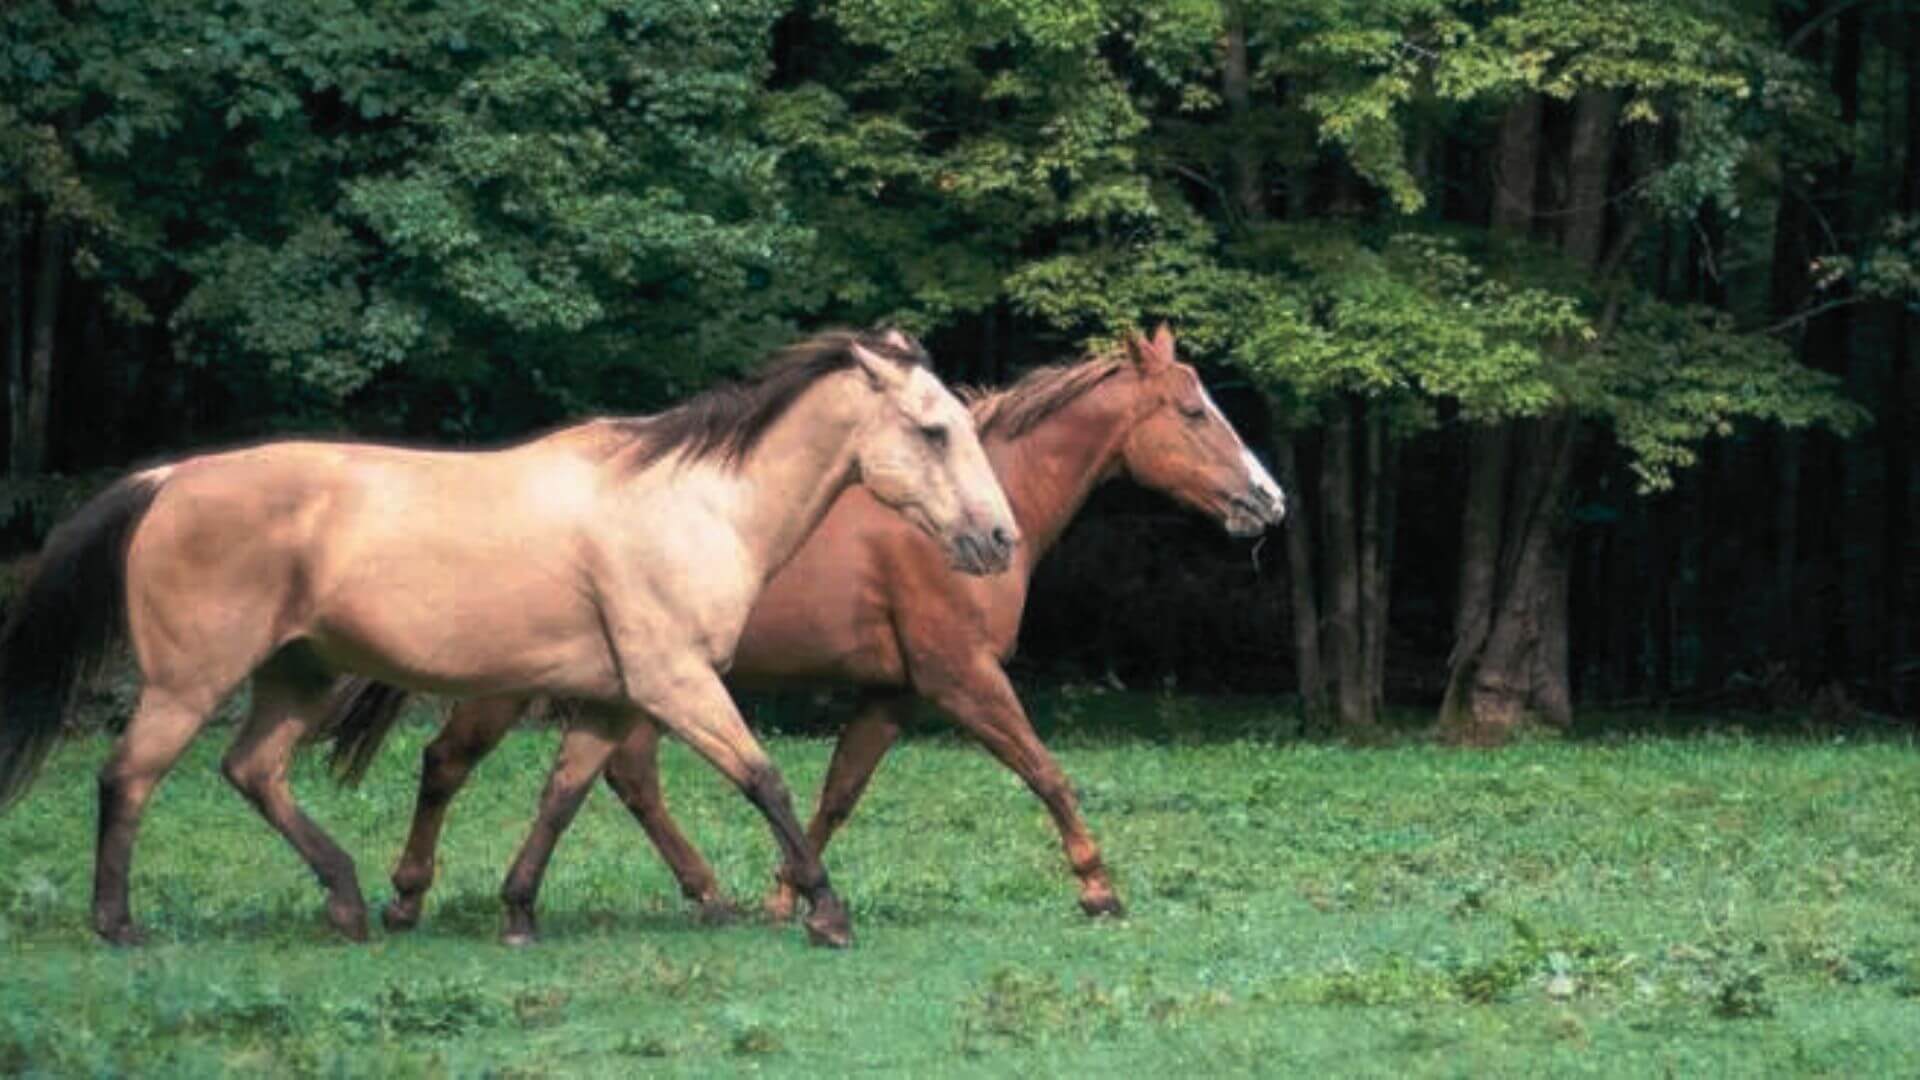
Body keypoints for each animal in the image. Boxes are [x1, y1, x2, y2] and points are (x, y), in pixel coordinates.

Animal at [0, 327, 1019, 950]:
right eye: (935, 431)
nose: (999, 539)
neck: (695, 505)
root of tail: (168, 480)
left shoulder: (610, 699)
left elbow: (560, 799)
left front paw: (519, 912)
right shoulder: (676, 682)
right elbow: (763, 778)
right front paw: (826, 911)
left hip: (298, 676)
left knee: (252, 772)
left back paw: (349, 901)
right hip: (192, 680)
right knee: (128, 777)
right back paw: (120, 924)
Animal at [326, 324, 1285, 929]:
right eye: (1193, 412)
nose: (1268, 500)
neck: (945, 519)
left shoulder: (892, 695)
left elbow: (836, 795)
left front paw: (790, 894)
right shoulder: (962, 677)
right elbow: (1047, 772)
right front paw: (1097, 889)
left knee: (620, 779)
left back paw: (707, 896)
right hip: (524, 685)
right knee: (450, 762)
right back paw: (407, 896)